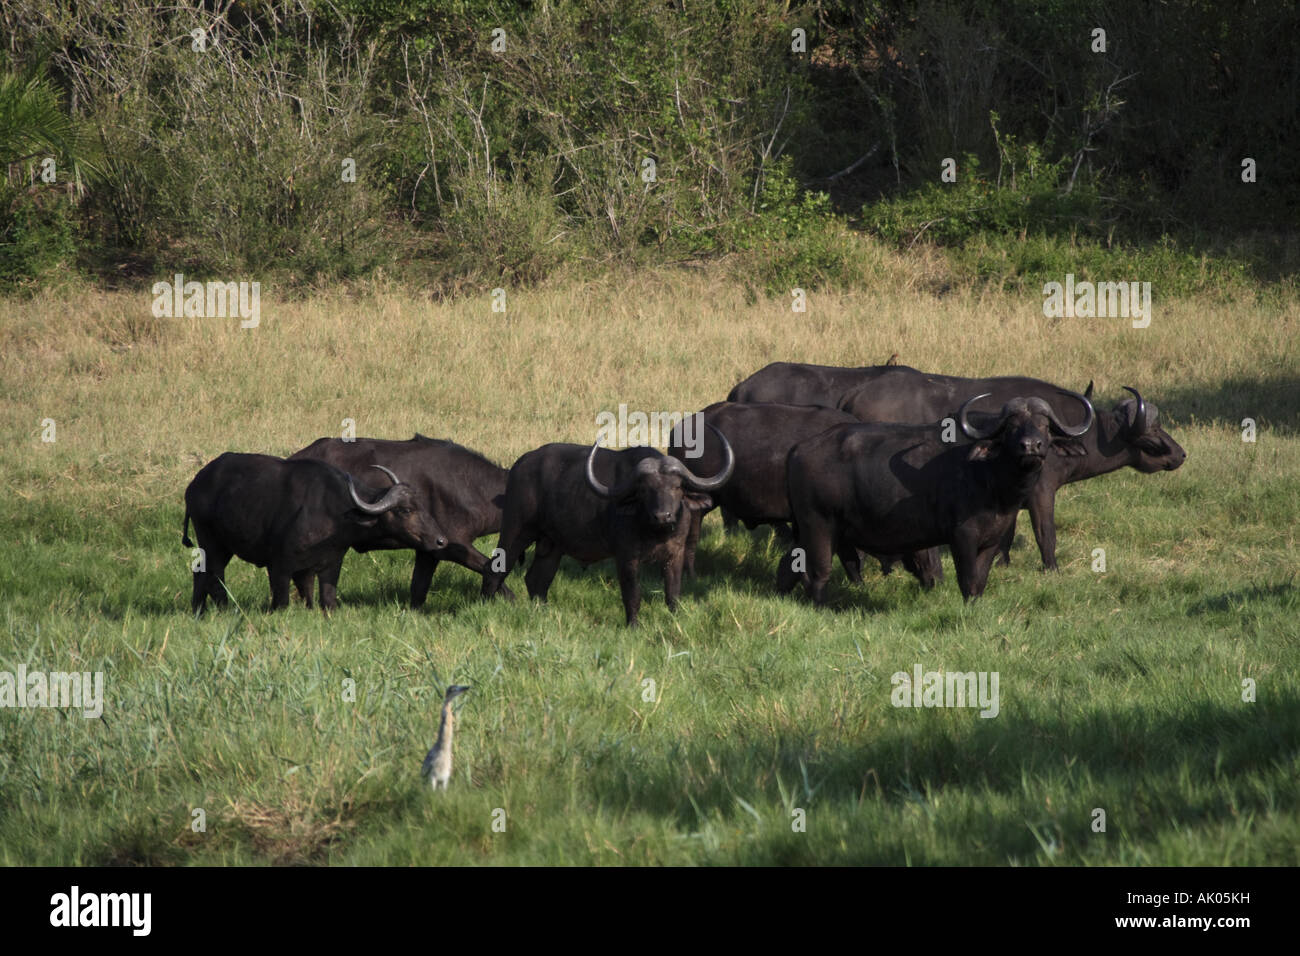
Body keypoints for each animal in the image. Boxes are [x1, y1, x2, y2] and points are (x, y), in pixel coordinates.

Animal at [182, 453, 447, 614]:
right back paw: (224, 608)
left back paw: (198, 610)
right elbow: (282, 601)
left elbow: (323, 598)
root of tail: (195, 484)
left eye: (423, 506)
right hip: (211, 541)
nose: (441, 540)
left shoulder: (326, 566)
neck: (335, 511)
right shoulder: (279, 566)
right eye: (406, 510)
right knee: (214, 576)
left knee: (201, 573)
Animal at [483, 432, 735, 626]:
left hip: (552, 544)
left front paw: (675, 621)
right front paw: (633, 626)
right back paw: (485, 606)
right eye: (644, 489)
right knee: (494, 569)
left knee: (537, 579)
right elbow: (632, 594)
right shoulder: (626, 557)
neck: (655, 531)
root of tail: (518, 467)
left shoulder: (676, 554)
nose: (662, 515)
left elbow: (673, 594)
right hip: (516, 531)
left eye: (676, 487)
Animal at [779, 393, 1093, 604]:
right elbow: (967, 580)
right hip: (819, 525)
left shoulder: (993, 539)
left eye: (1044, 426)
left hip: (809, 530)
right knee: (818, 573)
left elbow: (981, 580)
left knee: (791, 565)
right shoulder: (962, 536)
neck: (992, 479)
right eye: (1012, 427)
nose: (1031, 446)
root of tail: (799, 450)